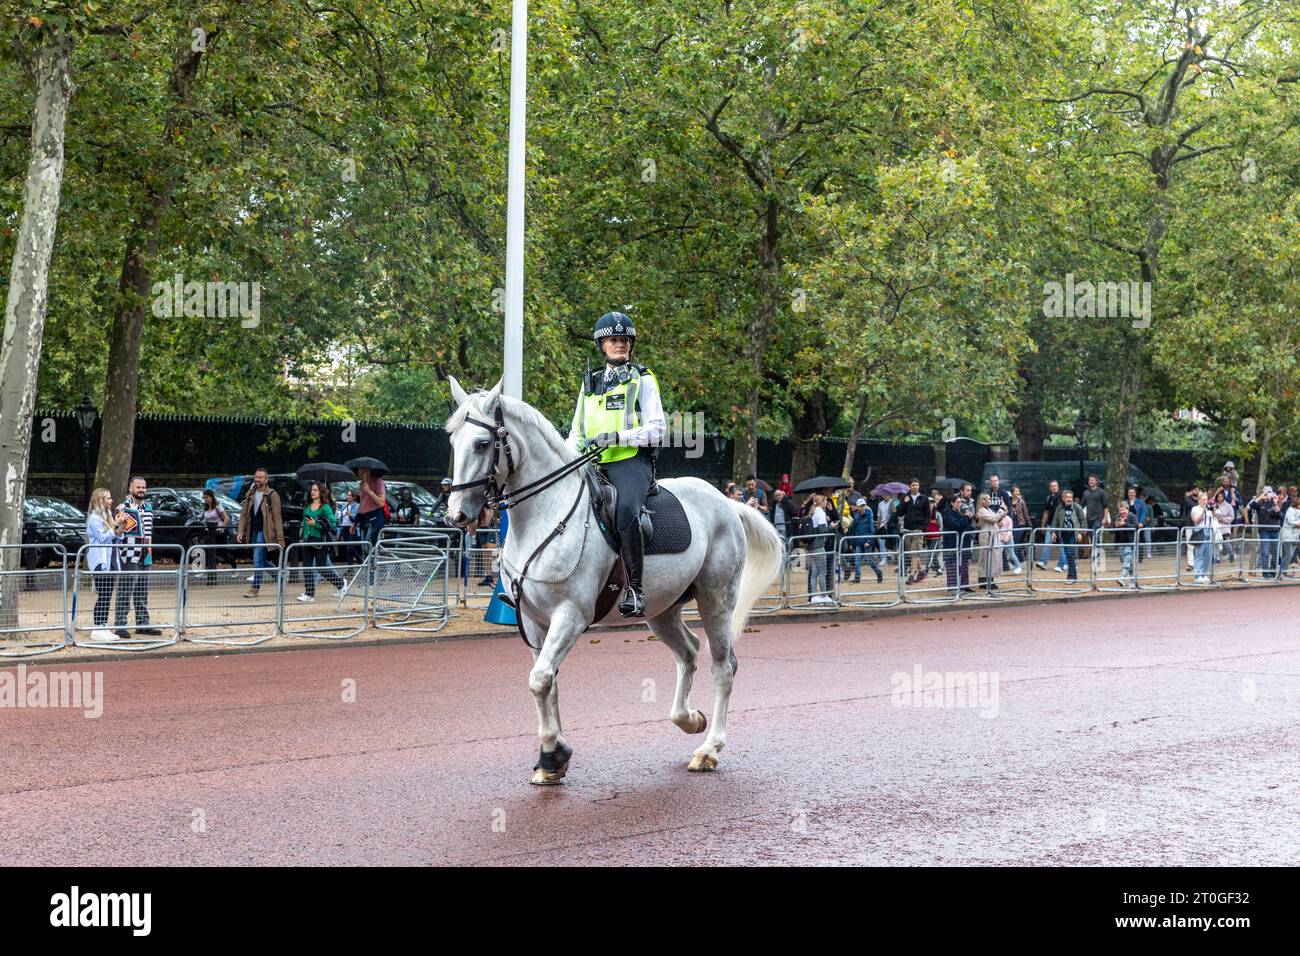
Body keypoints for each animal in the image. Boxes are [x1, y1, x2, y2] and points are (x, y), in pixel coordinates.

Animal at [445, 377, 784, 784]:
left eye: (482, 443)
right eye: (453, 440)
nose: (455, 515)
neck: (546, 517)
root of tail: (726, 502)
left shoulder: (571, 616)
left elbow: (539, 679)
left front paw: (551, 753)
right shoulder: (533, 621)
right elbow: (548, 683)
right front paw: (554, 758)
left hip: (715, 600)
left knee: (724, 666)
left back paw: (708, 750)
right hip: (662, 611)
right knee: (688, 651)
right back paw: (688, 719)